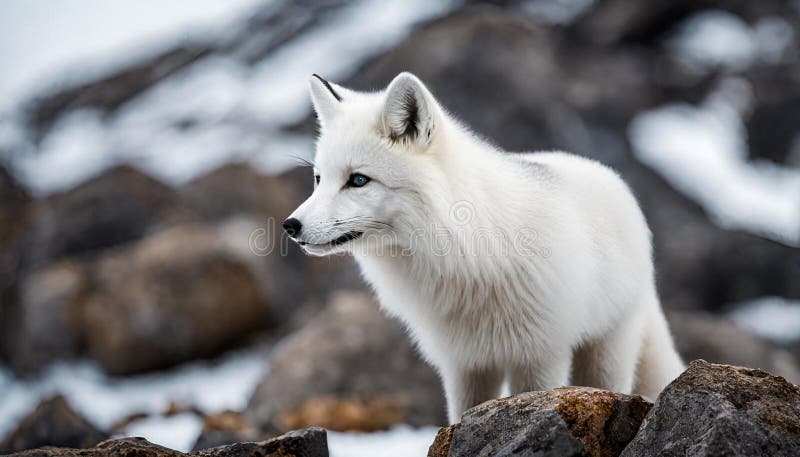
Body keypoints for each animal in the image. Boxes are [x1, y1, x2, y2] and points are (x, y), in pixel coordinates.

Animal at [283, 72, 685, 423]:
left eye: (358, 180)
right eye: (318, 179)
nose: (290, 226)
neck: (464, 257)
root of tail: (606, 173)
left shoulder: (540, 355)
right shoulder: (466, 363)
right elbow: (459, 418)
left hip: (607, 353)